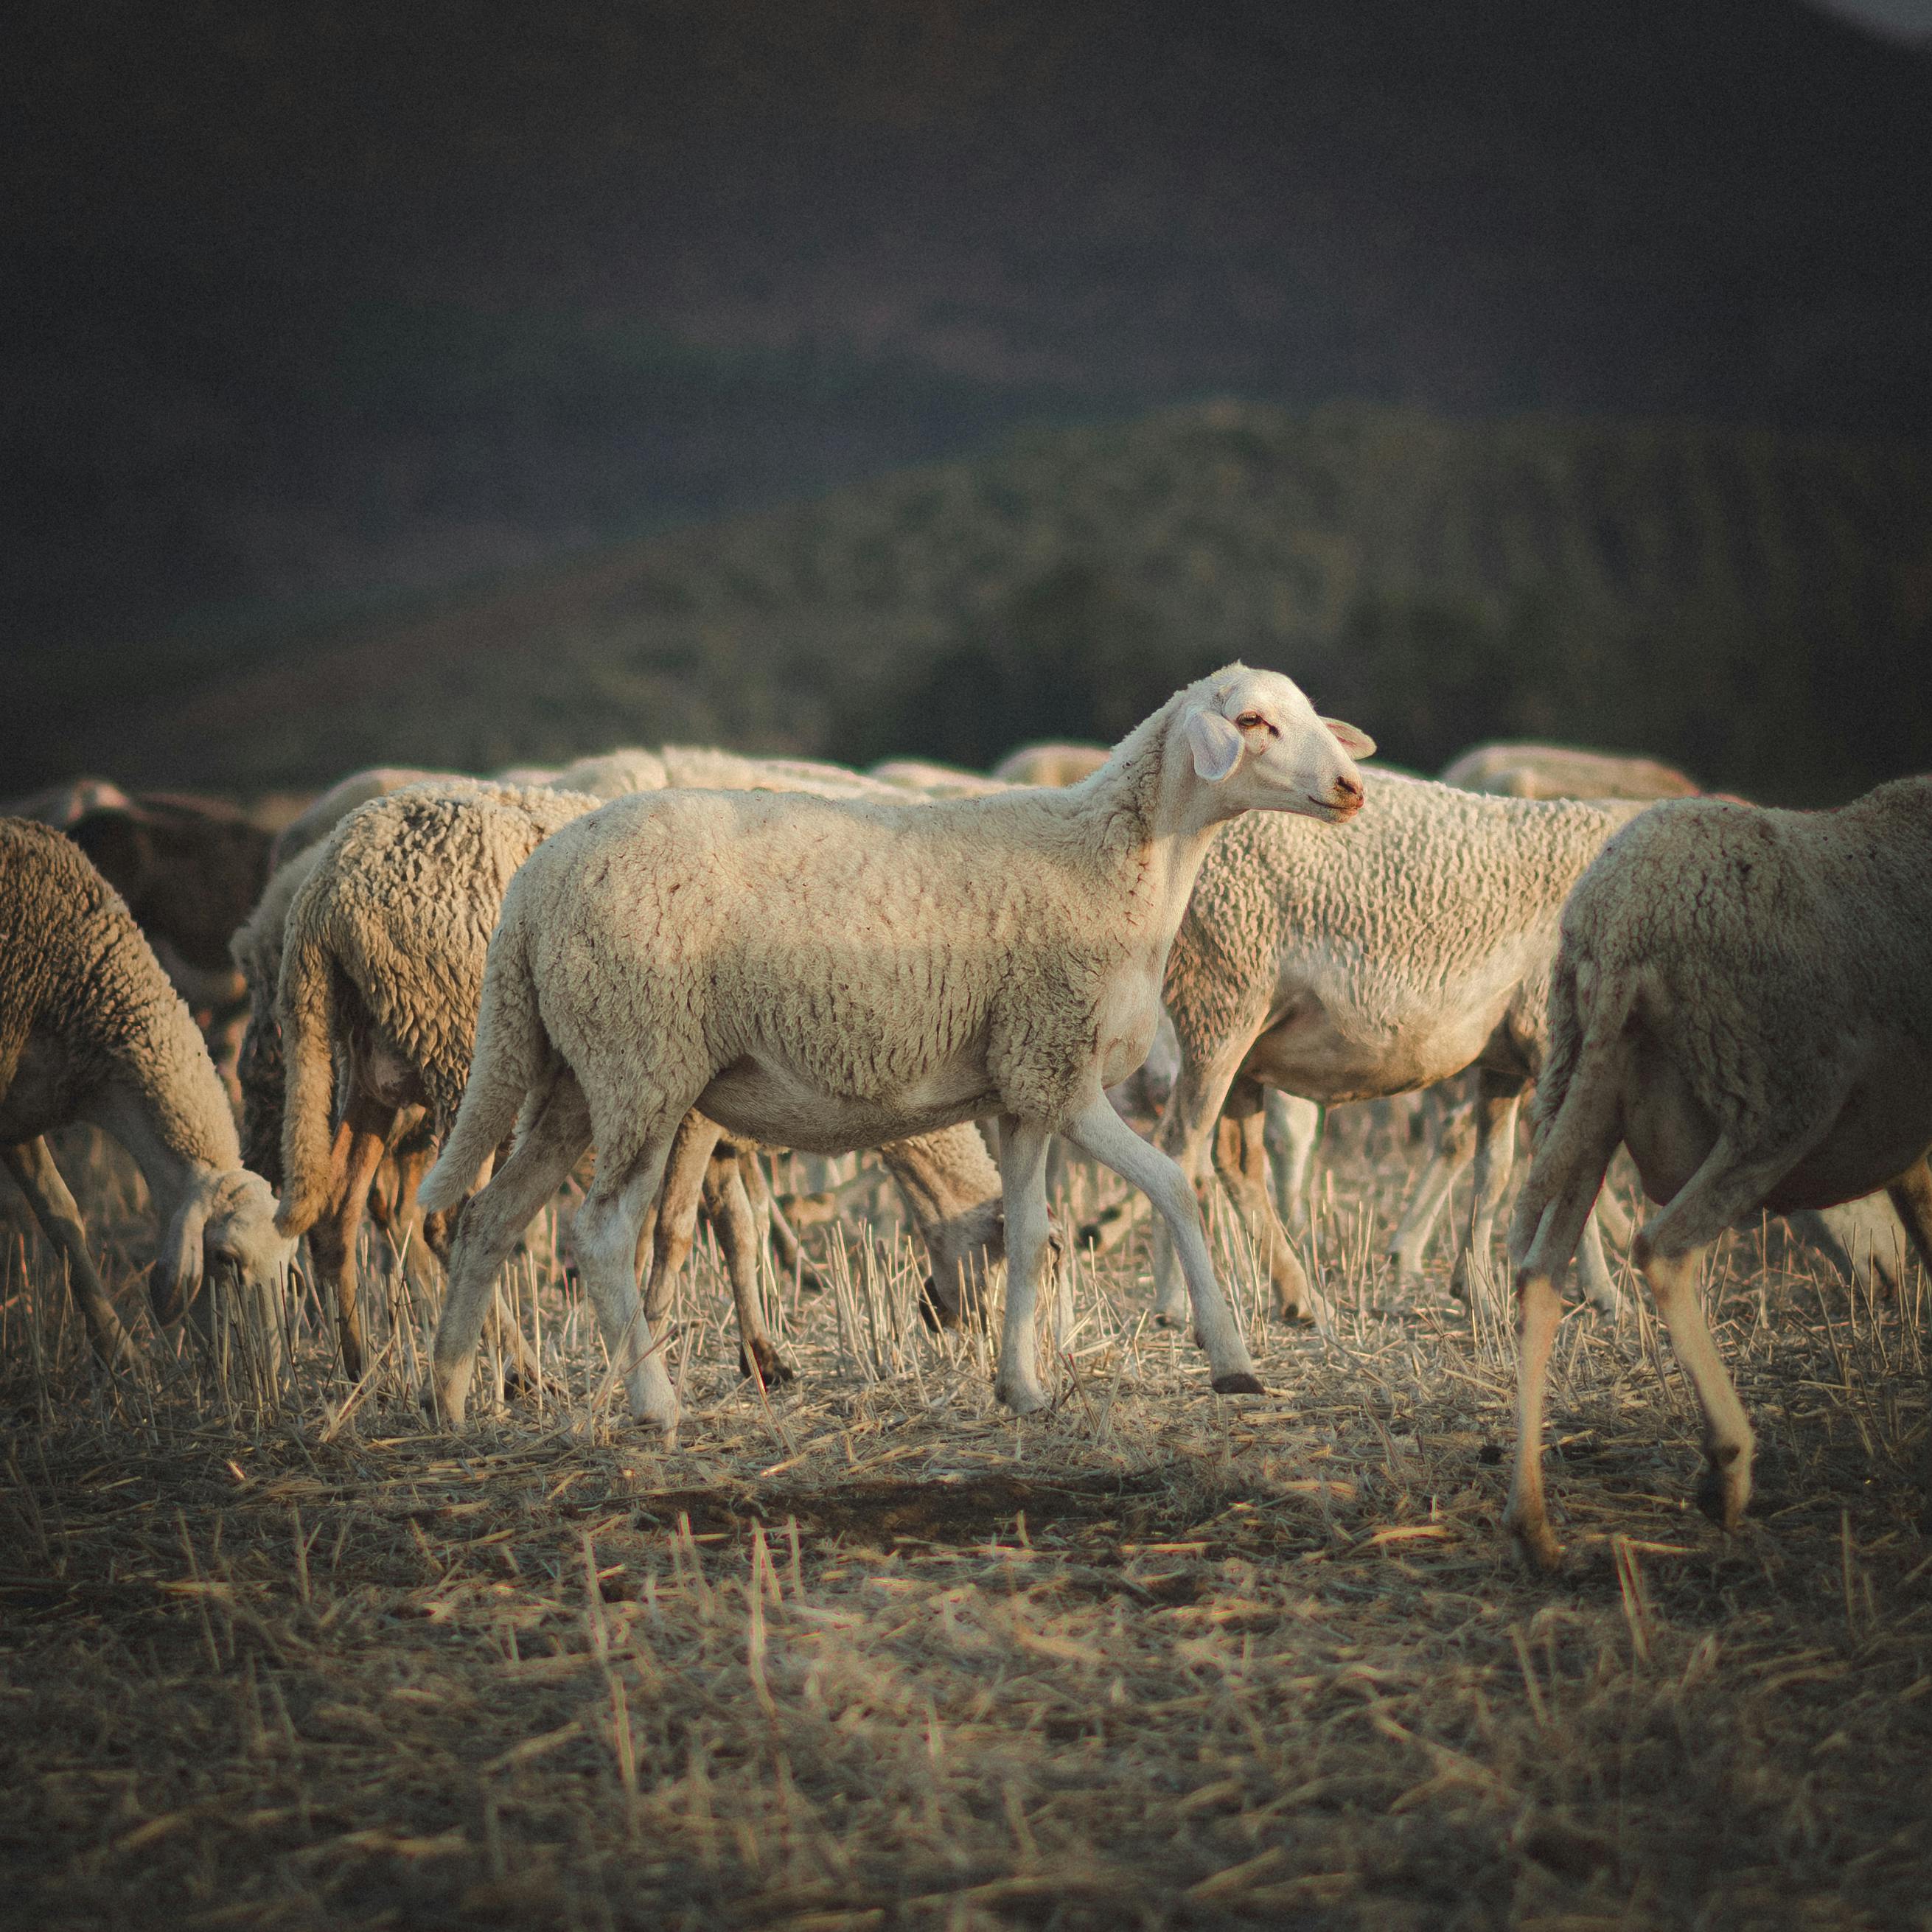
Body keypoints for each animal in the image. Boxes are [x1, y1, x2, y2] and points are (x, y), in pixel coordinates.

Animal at [416, 664, 1372, 1430]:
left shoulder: (1020, 1087)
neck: (1118, 861)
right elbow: (1176, 1183)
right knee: (602, 1231)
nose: (1351, 787)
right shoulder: (1058, 1066)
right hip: (641, 1060)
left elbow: (1030, 1236)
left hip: (573, 1074)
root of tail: (529, 892)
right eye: (1253, 721)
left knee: (488, 1217)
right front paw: (1231, 1361)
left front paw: (1021, 1388)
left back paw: (453, 1400)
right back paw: (653, 1406)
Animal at [1151, 775, 1651, 1326]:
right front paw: (1606, 1296)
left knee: (1234, 1162)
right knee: (1180, 1148)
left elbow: (1495, 1169)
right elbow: (1568, 1171)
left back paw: (1299, 1298)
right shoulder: (1550, 1037)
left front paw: (1477, 1292)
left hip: (1246, 1044)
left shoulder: (1508, 1059)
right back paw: (1177, 1304)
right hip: (1218, 1008)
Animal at [1503, 779, 1932, 1568]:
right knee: (1663, 1249)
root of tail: (1621, 920)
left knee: (1541, 1272)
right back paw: (1726, 1469)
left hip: (1582, 1078)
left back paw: (1534, 1524)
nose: (1886, 1279)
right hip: (1773, 1098)